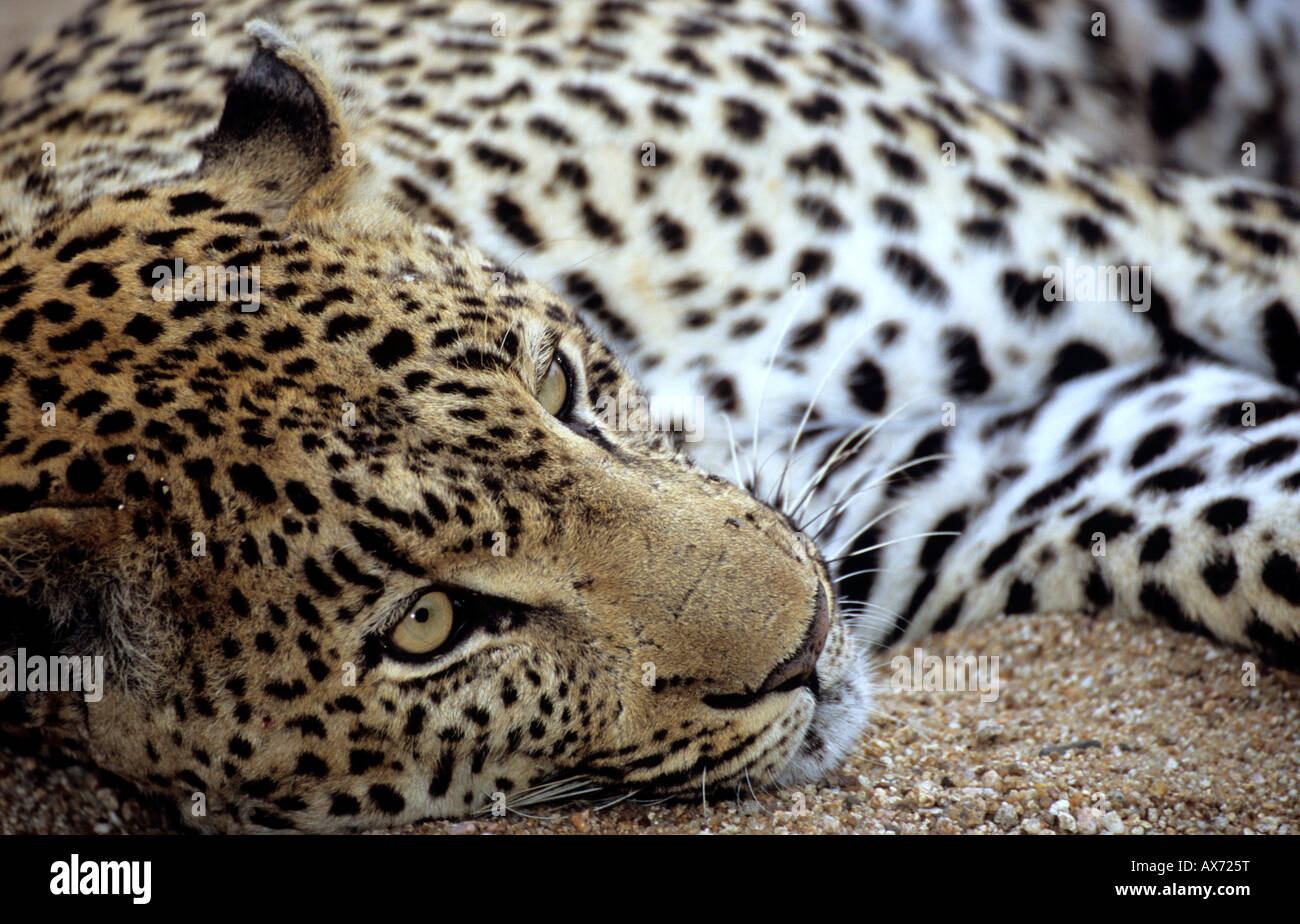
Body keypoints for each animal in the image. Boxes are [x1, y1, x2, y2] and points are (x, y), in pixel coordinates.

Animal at [1, 0, 1299, 833]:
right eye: (426, 625)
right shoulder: (1009, 475)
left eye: (555, 388)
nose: (810, 637)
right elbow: (1247, 522)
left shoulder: (1142, 230)